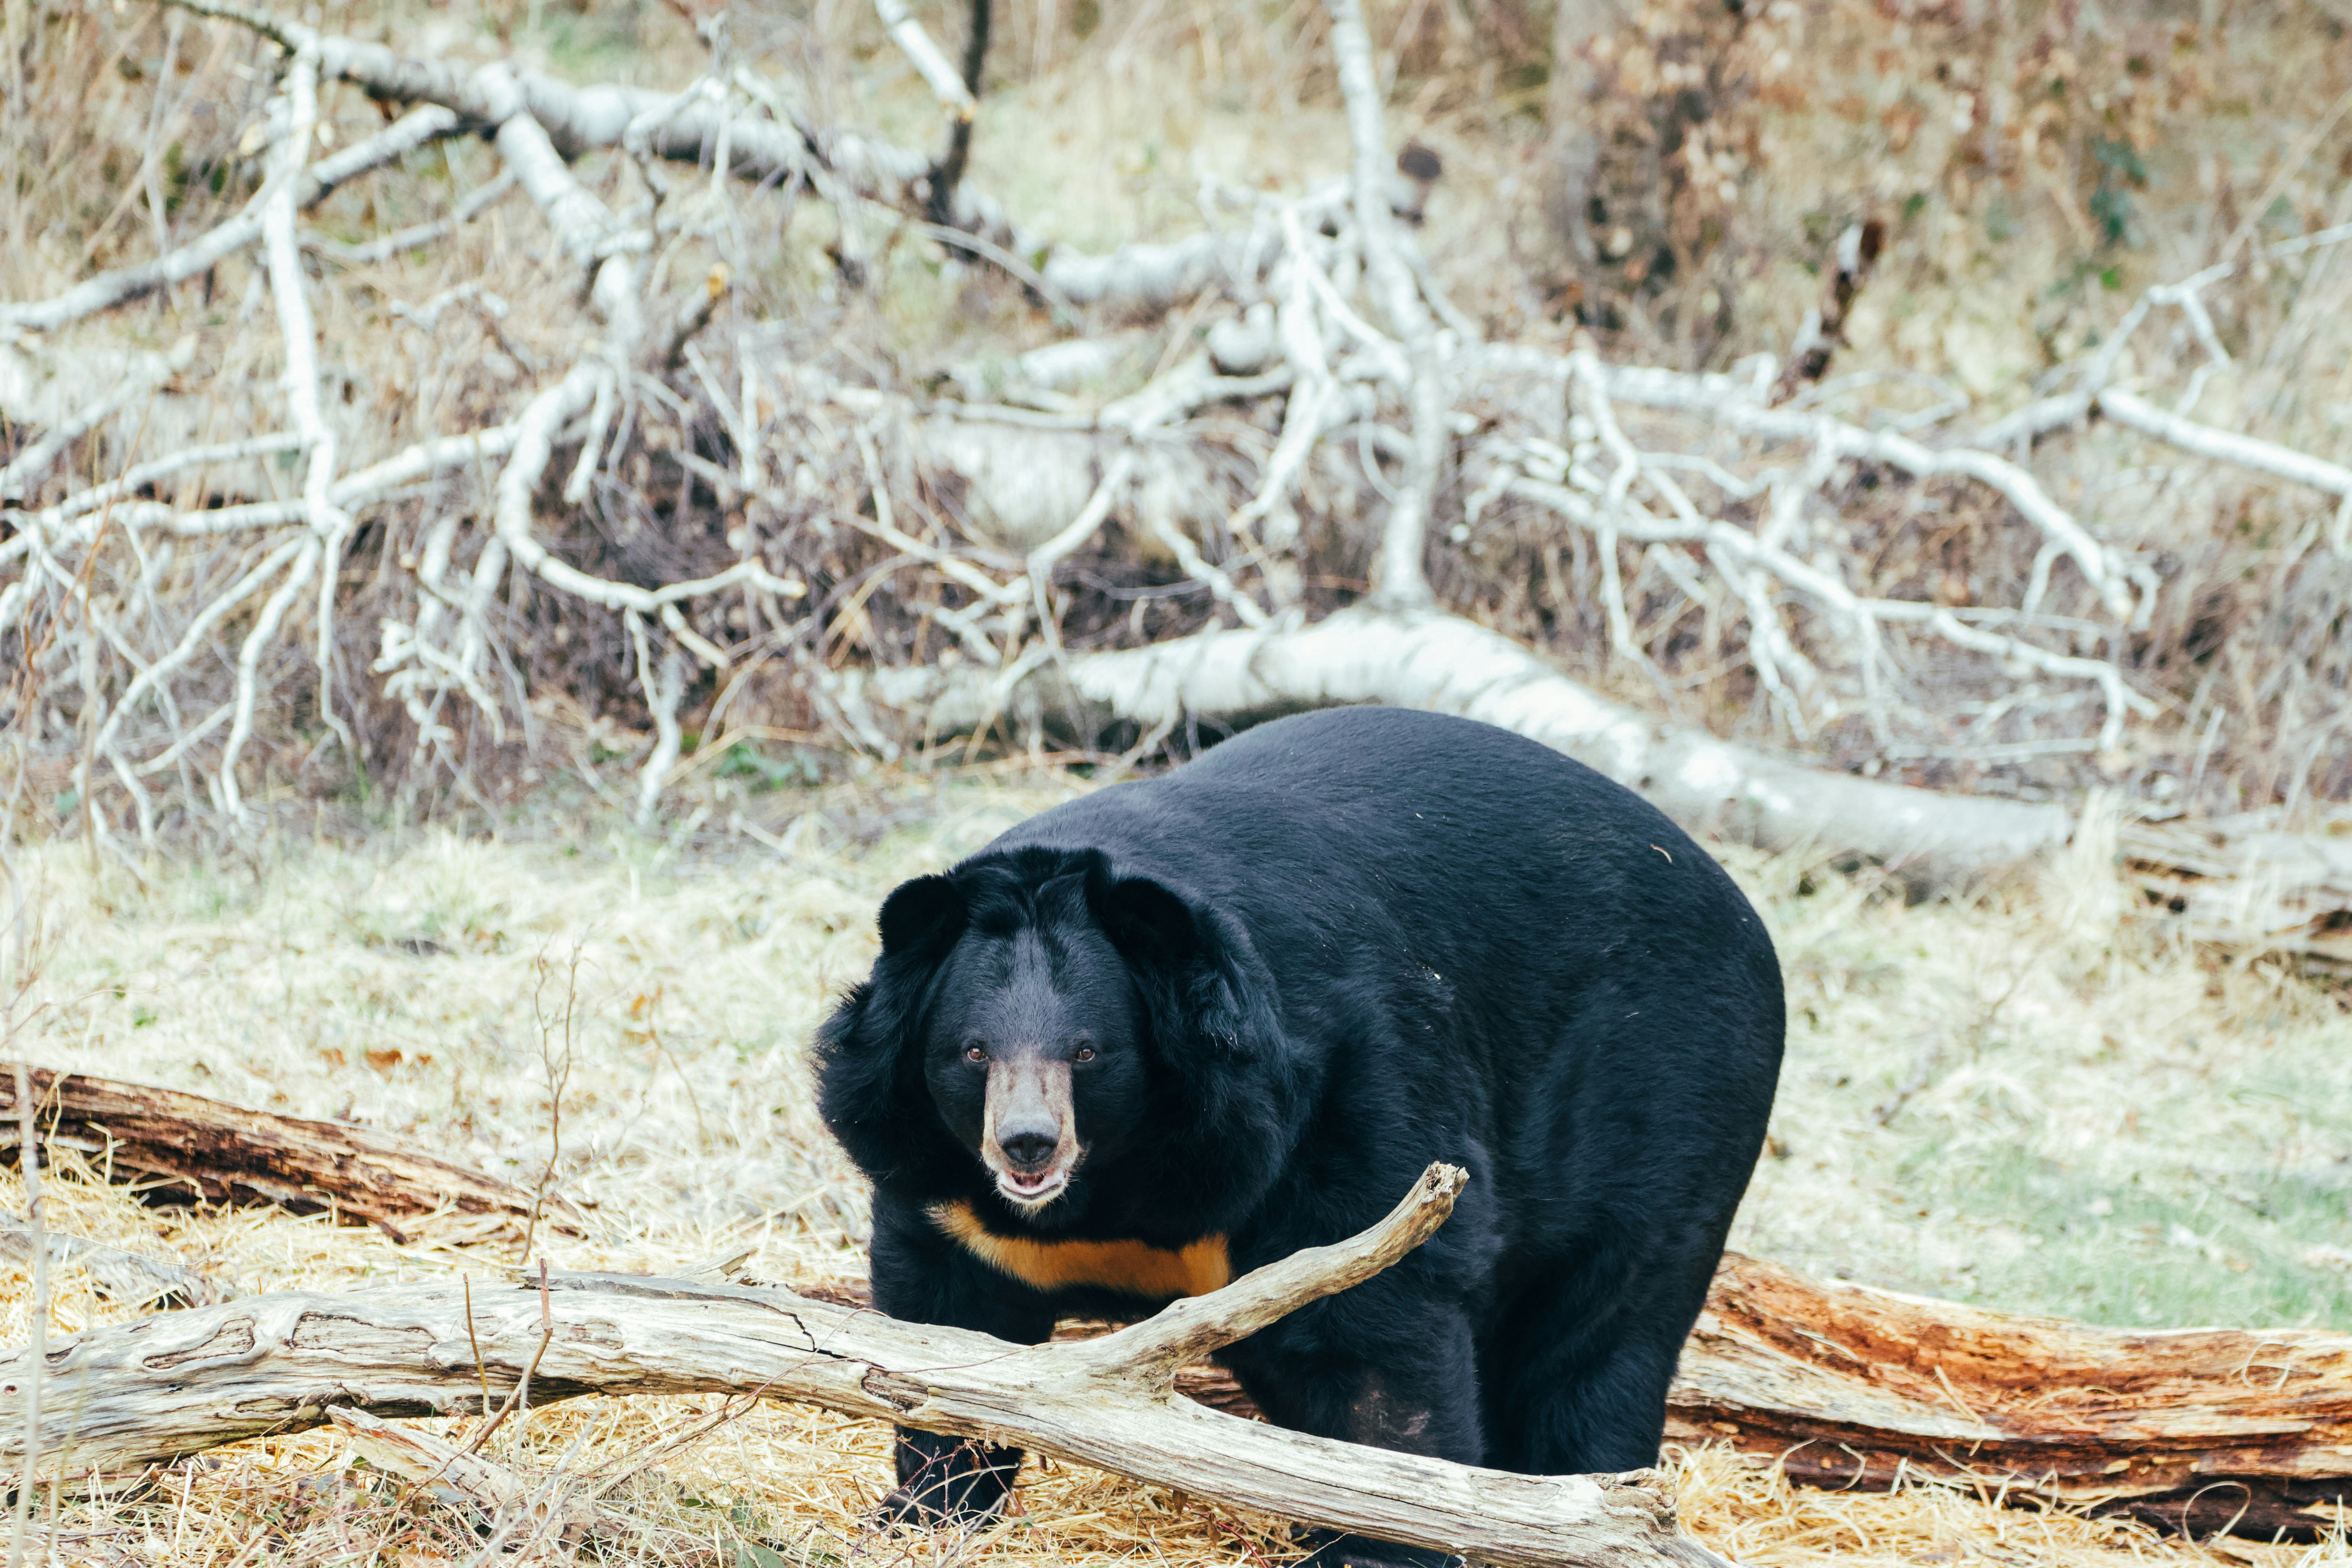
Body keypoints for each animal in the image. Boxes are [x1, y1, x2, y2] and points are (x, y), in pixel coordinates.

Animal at [815, 705, 1784, 1567]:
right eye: (972, 1050)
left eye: (1089, 1051)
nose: (1026, 1144)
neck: (1119, 1175)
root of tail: (1732, 895)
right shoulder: (939, 1183)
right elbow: (948, 1330)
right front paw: (922, 1511)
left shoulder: (1348, 1095)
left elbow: (1382, 1332)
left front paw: (1380, 1541)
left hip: (1671, 1094)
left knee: (1600, 1333)